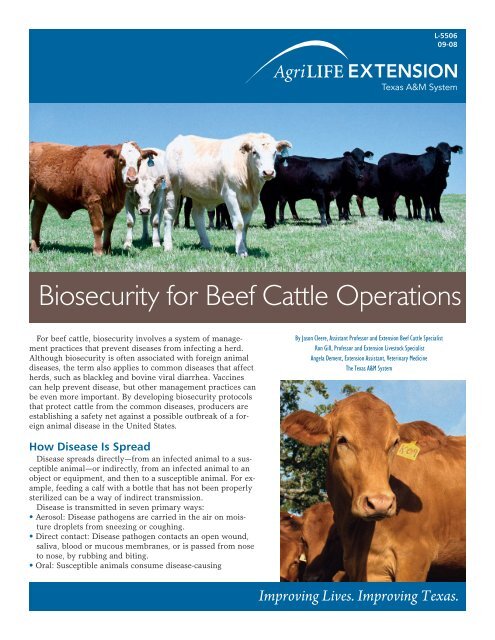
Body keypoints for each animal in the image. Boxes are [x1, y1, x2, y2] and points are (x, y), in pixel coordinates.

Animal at [163, 133, 292, 257]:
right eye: (254, 152)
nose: (268, 172)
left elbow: (245, 226)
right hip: (172, 189)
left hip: (198, 193)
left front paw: (244, 246)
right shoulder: (230, 195)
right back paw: (168, 246)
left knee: (197, 216)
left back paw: (206, 244)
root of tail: (177, 139)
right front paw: (241, 251)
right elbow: (239, 223)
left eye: (274, 152)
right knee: (169, 215)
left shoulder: (250, 201)